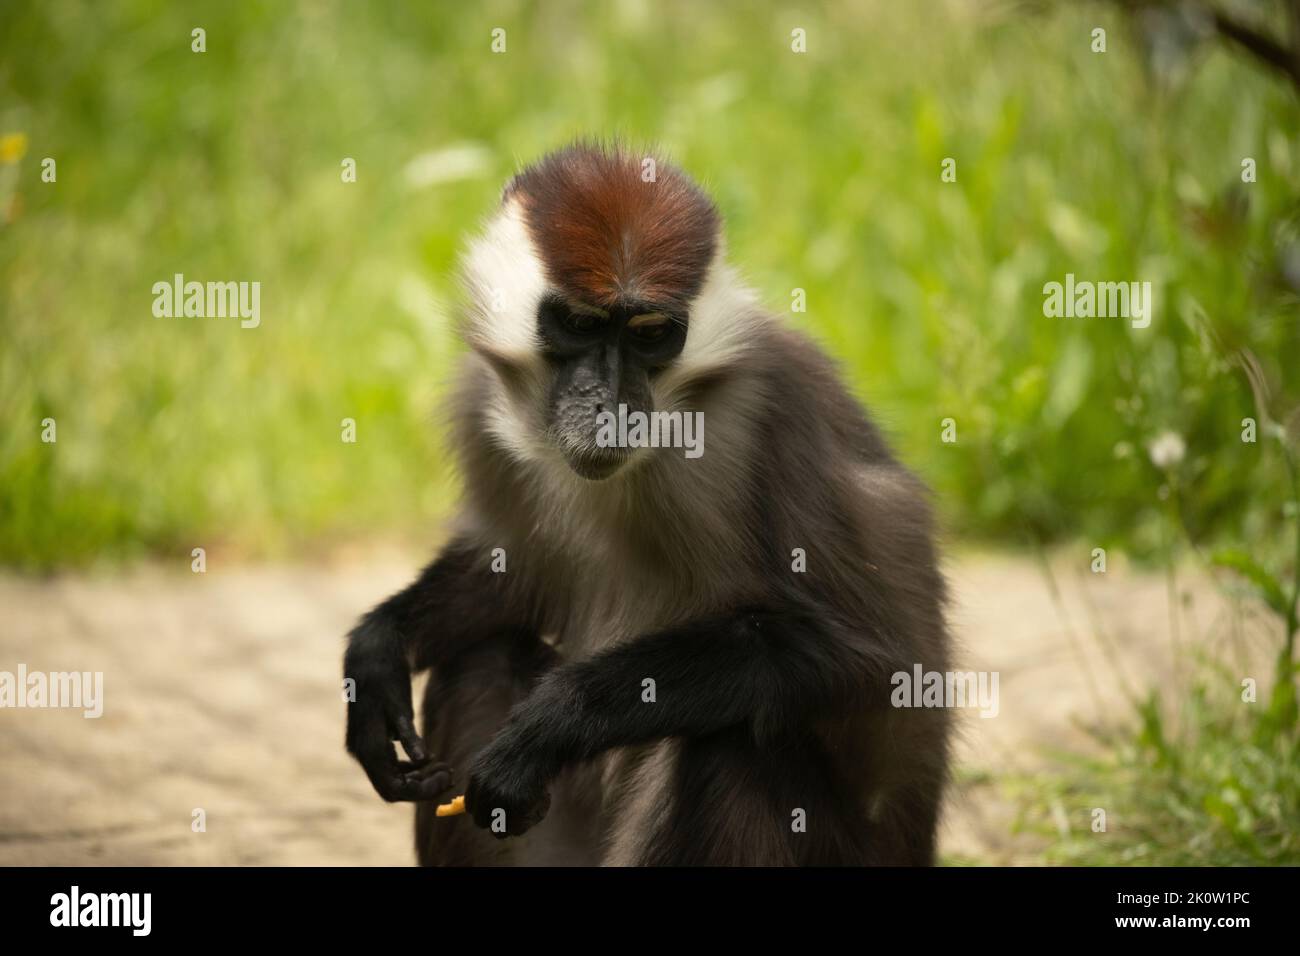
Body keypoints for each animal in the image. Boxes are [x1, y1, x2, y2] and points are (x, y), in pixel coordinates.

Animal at [343, 141, 956, 868]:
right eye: (580, 324)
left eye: (650, 333)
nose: (612, 405)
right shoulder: (480, 402)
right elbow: (508, 575)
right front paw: (376, 652)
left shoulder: (769, 413)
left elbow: (869, 660)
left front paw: (559, 717)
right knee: (480, 656)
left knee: (729, 739)